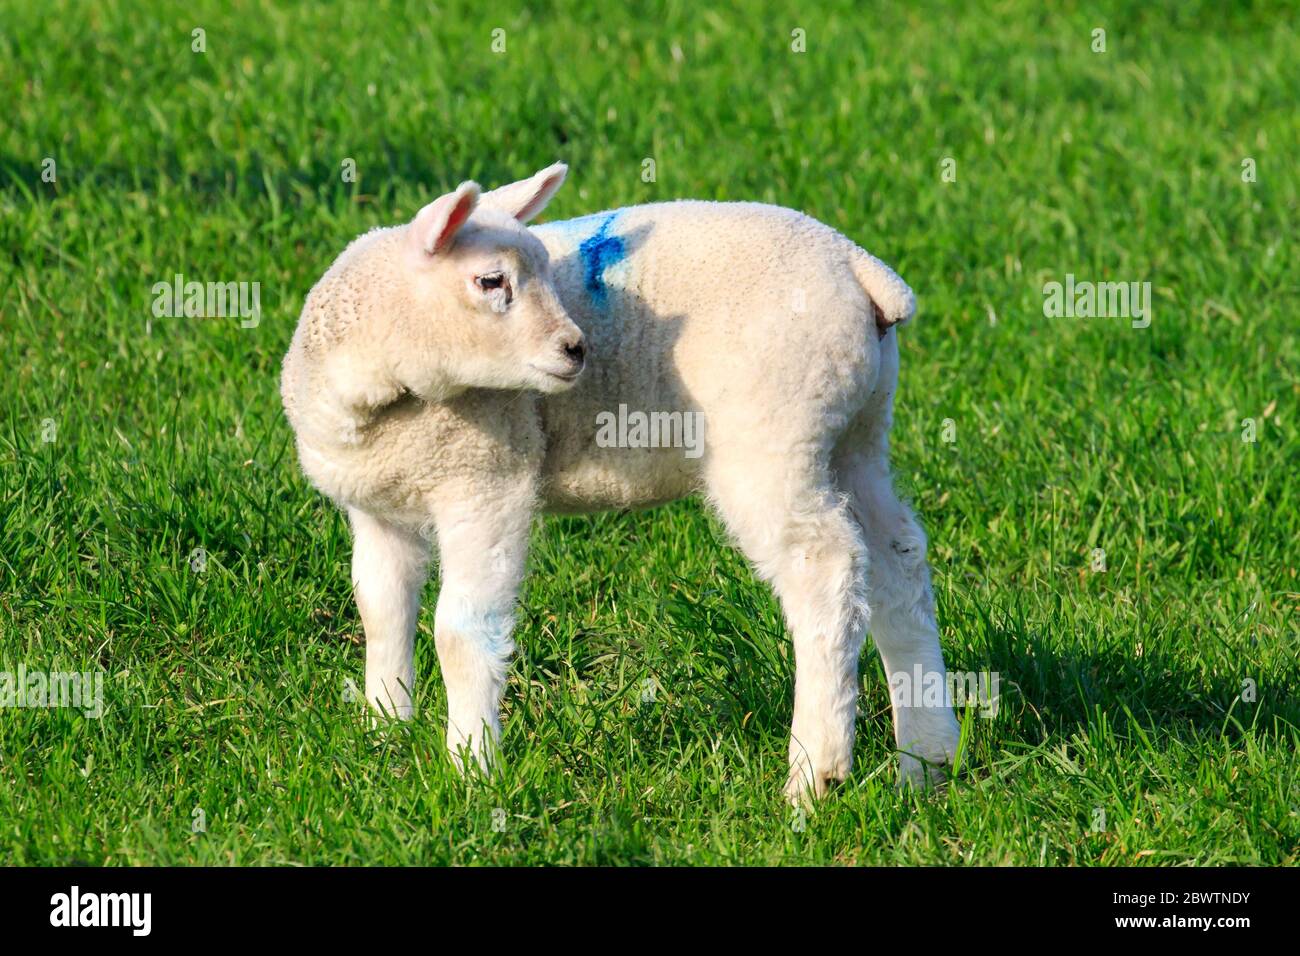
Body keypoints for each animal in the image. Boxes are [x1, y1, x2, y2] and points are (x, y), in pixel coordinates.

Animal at [280, 162, 962, 802]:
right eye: (491, 281)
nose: (577, 349)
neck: (384, 397)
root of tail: (860, 268)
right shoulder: (379, 508)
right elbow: (381, 608)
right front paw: (383, 731)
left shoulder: (487, 482)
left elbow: (461, 630)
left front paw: (471, 769)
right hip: (856, 433)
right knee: (897, 559)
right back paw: (928, 759)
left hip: (774, 436)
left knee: (825, 567)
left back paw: (814, 775)